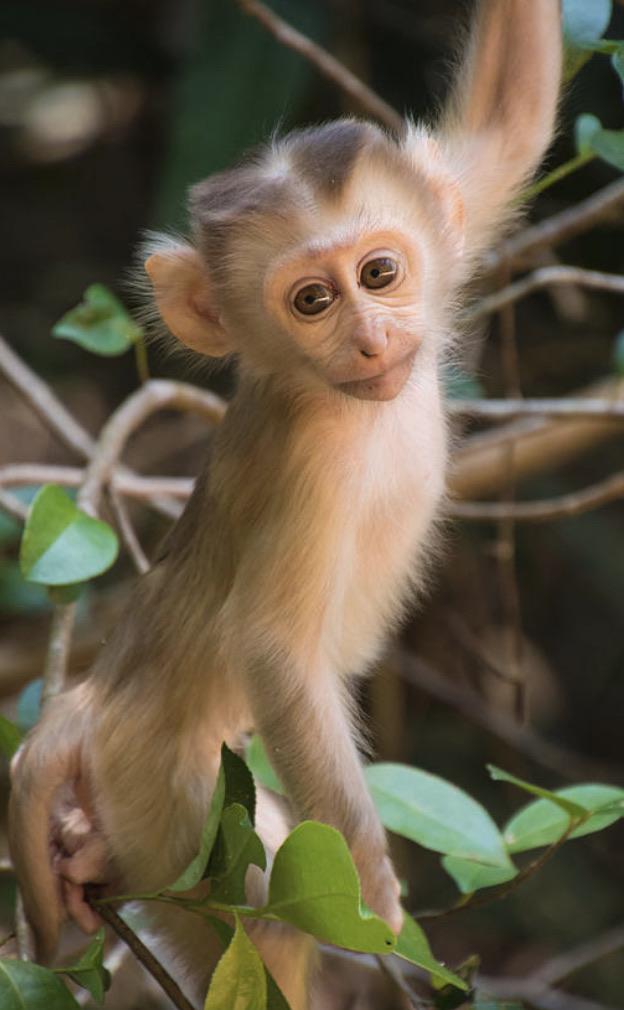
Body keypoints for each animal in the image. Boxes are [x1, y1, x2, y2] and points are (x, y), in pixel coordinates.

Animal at [9, 3, 562, 1007]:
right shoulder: (310, 468)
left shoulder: (448, 207)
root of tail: (95, 699)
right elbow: (274, 651)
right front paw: (377, 896)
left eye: (379, 274)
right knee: (262, 927)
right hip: (174, 809)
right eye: (311, 300)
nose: (372, 337)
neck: (345, 402)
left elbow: (515, 114)